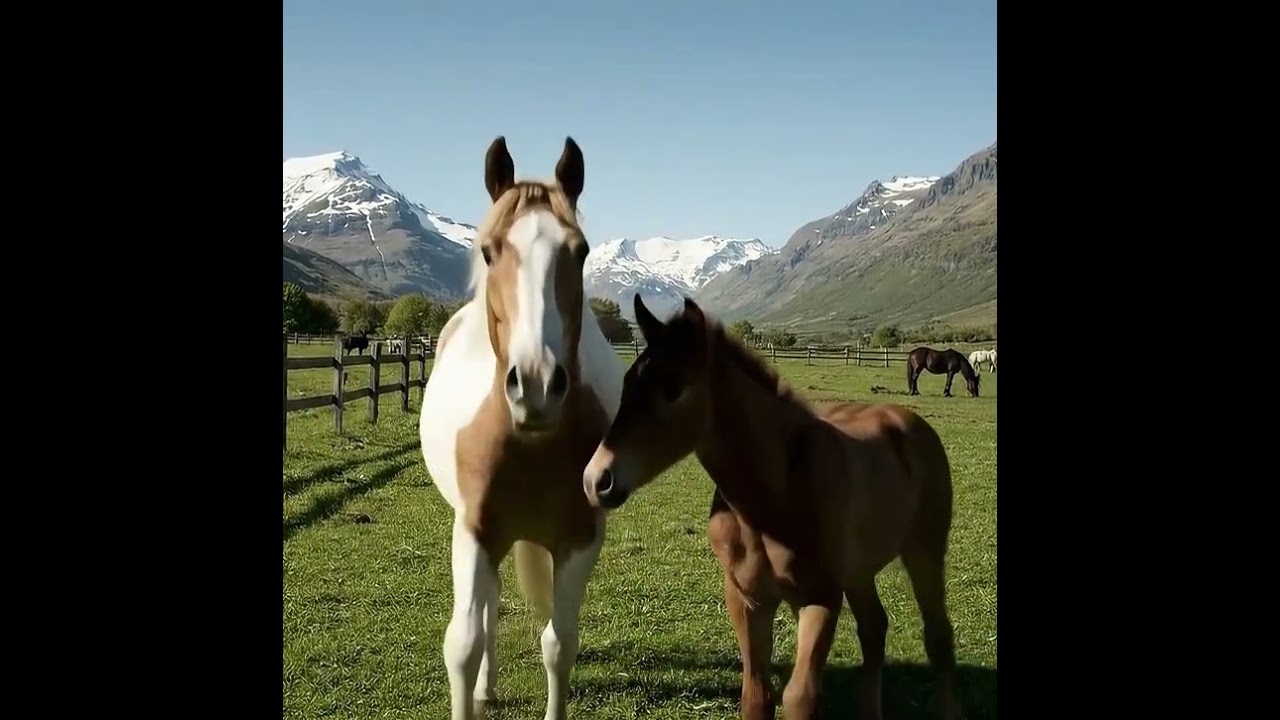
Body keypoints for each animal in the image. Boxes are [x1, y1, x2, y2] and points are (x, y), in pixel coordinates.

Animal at [418, 136, 624, 720]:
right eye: (490, 251)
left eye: (579, 251)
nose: (535, 384)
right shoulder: (474, 532)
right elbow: (462, 644)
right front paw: (474, 686)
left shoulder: (580, 539)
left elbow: (559, 644)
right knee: (486, 610)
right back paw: (487, 687)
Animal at [582, 295, 959, 720]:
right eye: (627, 383)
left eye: (674, 389)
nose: (596, 479)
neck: (772, 499)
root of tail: (907, 419)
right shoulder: (748, 599)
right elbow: (756, 696)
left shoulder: (820, 598)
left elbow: (799, 697)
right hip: (859, 570)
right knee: (874, 629)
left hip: (925, 548)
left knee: (938, 635)